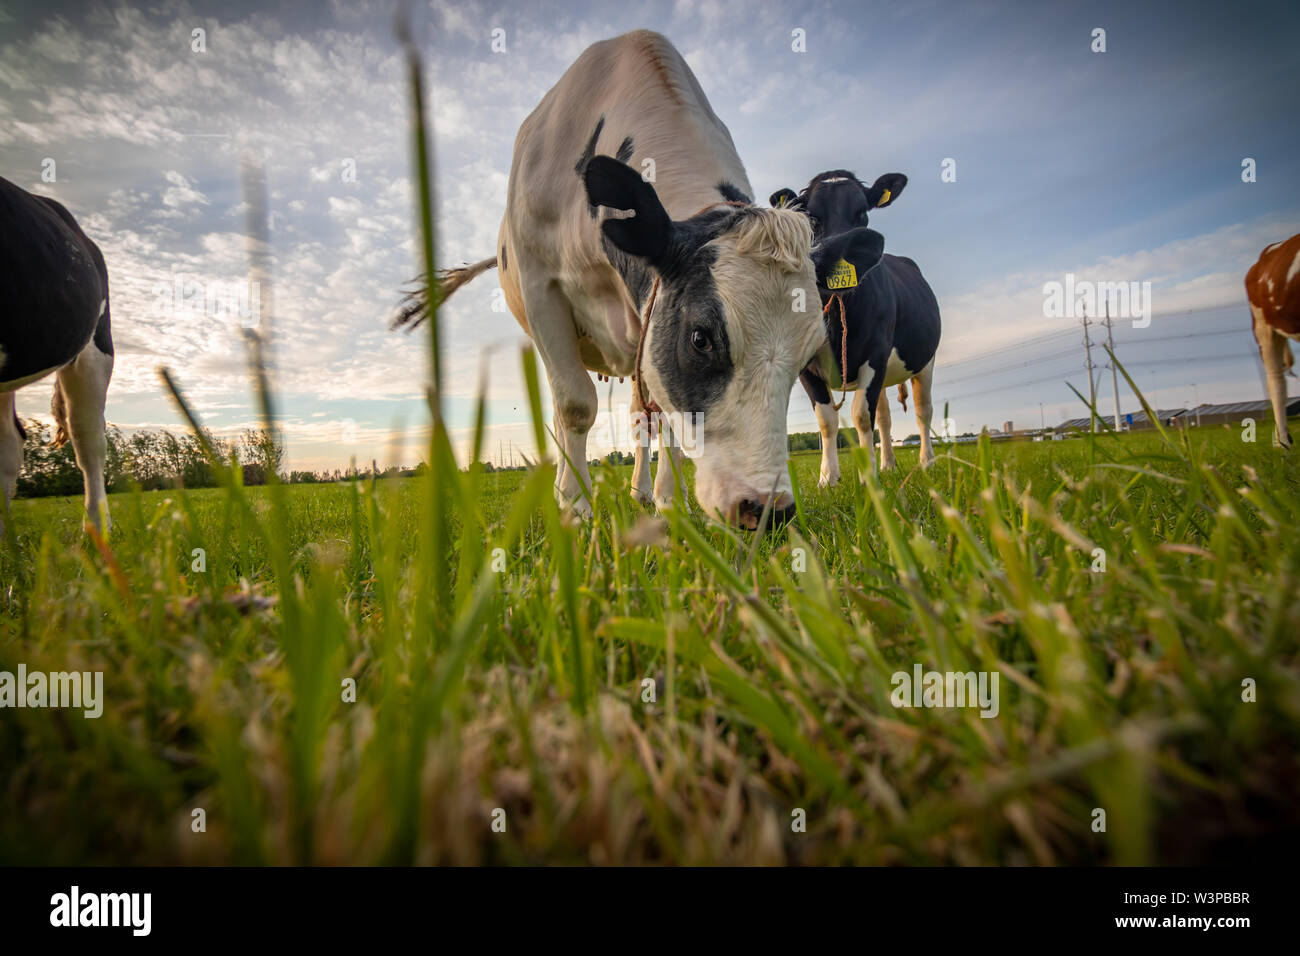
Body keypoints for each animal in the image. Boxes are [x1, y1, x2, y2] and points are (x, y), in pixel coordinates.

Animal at [396, 31, 883, 528]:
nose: (767, 510)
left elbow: (661, 416)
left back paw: (644, 493)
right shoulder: (540, 287)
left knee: (641, 418)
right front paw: (575, 508)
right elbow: (575, 406)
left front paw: (670, 502)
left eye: (807, 351)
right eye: (700, 338)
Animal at [769, 170, 941, 484]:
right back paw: (888, 465)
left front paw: (868, 478)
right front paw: (828, 478)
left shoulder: (876, 351)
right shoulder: (805, 364)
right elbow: (827, 420)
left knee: (923, 410)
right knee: (884, 417)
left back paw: (927, 462)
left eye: (863, 213)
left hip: (925, 362)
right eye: (812, 217)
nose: (843, 250)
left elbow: (861, 415)